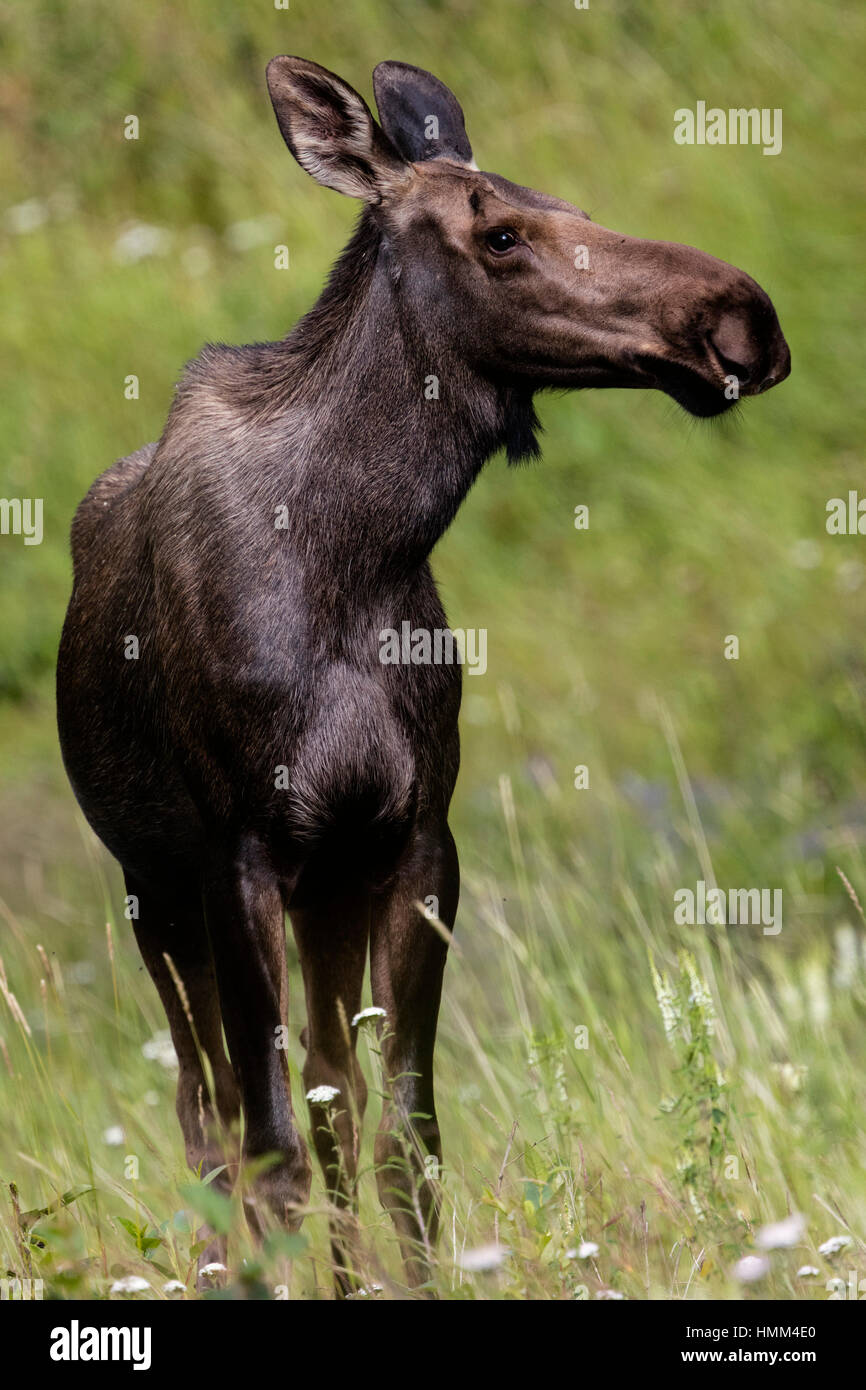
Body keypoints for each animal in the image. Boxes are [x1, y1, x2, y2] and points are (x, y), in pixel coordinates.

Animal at [56, 56, 790, 1295]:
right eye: (498, 231)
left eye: (574, 204)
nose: (744, 316)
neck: (355, 553)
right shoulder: (236, 850)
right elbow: (269, 1146)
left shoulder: (410, 839)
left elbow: (401, 1130)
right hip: (154, 892)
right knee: (206, 1117)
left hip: (322, 889)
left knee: (328, 1093)